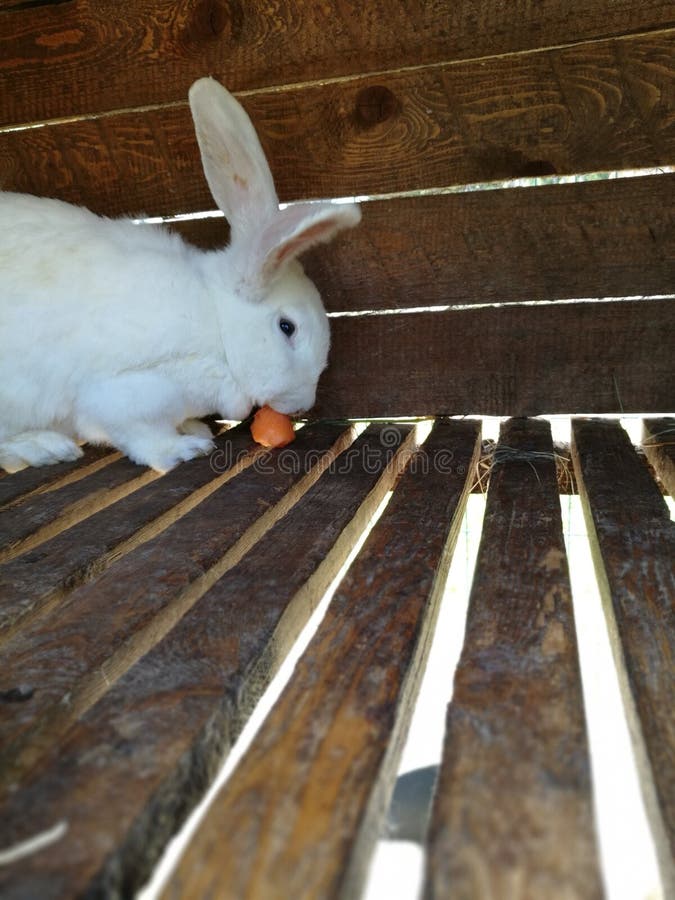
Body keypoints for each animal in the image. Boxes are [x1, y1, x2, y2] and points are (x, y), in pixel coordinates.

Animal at [0, 77, 361, 473]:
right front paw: (184, 448)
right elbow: (142, 436)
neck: (218, 323)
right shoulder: (124, 394)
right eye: (287, 327)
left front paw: (194, 429)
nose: (301, 405)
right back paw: (44, 446)